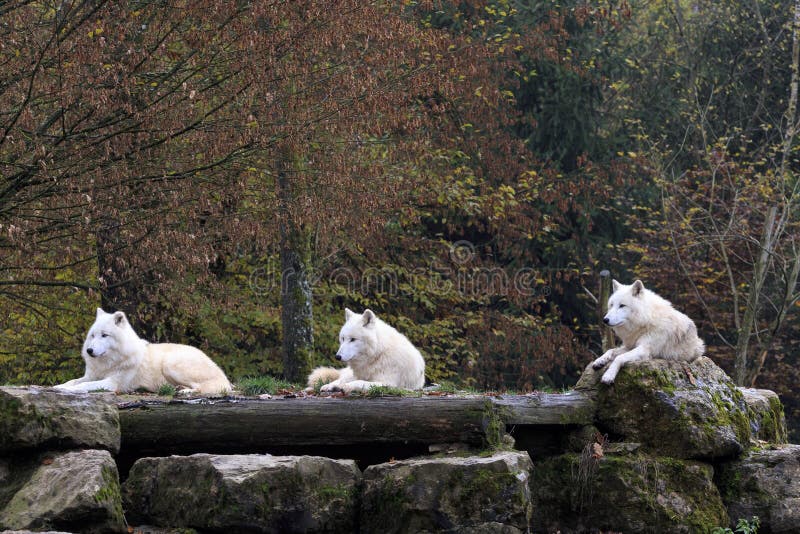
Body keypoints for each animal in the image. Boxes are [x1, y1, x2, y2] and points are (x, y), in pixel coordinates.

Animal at [55, 308, 232, 395]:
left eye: (104, 335)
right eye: (92, 335)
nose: (89, 350)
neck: (110, 362)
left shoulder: (112, 383)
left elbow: (83, 385)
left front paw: (68, 390)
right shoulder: (91, 376)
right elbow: (73, 381)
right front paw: (58, 386)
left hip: (171, 364)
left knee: (204, 388)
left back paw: (185, 391)